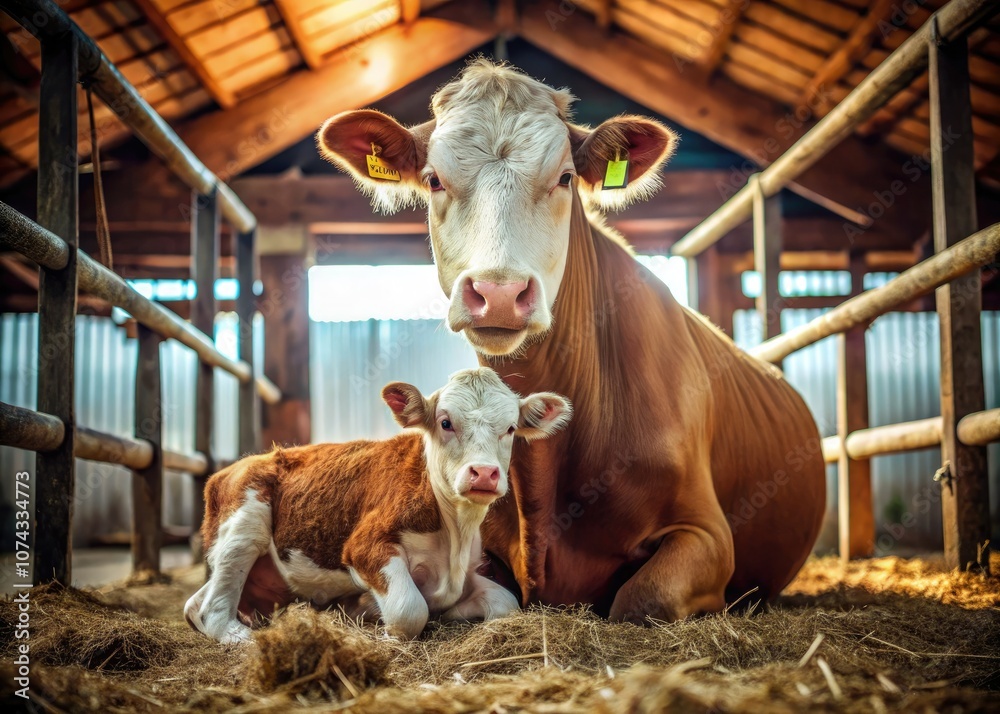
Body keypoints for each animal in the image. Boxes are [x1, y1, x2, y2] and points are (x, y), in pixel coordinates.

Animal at [184, 367, 572, 643]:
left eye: (510, 428)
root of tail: (229, 469)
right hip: (244, 523)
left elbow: (506, 604)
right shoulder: (365, 545)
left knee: (195, 603)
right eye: (446, 422)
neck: (454, 535)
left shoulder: (467, 573)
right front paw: (383, 631)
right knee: (211, 609)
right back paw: (244, 638)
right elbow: (409, 610)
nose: (484, 473)